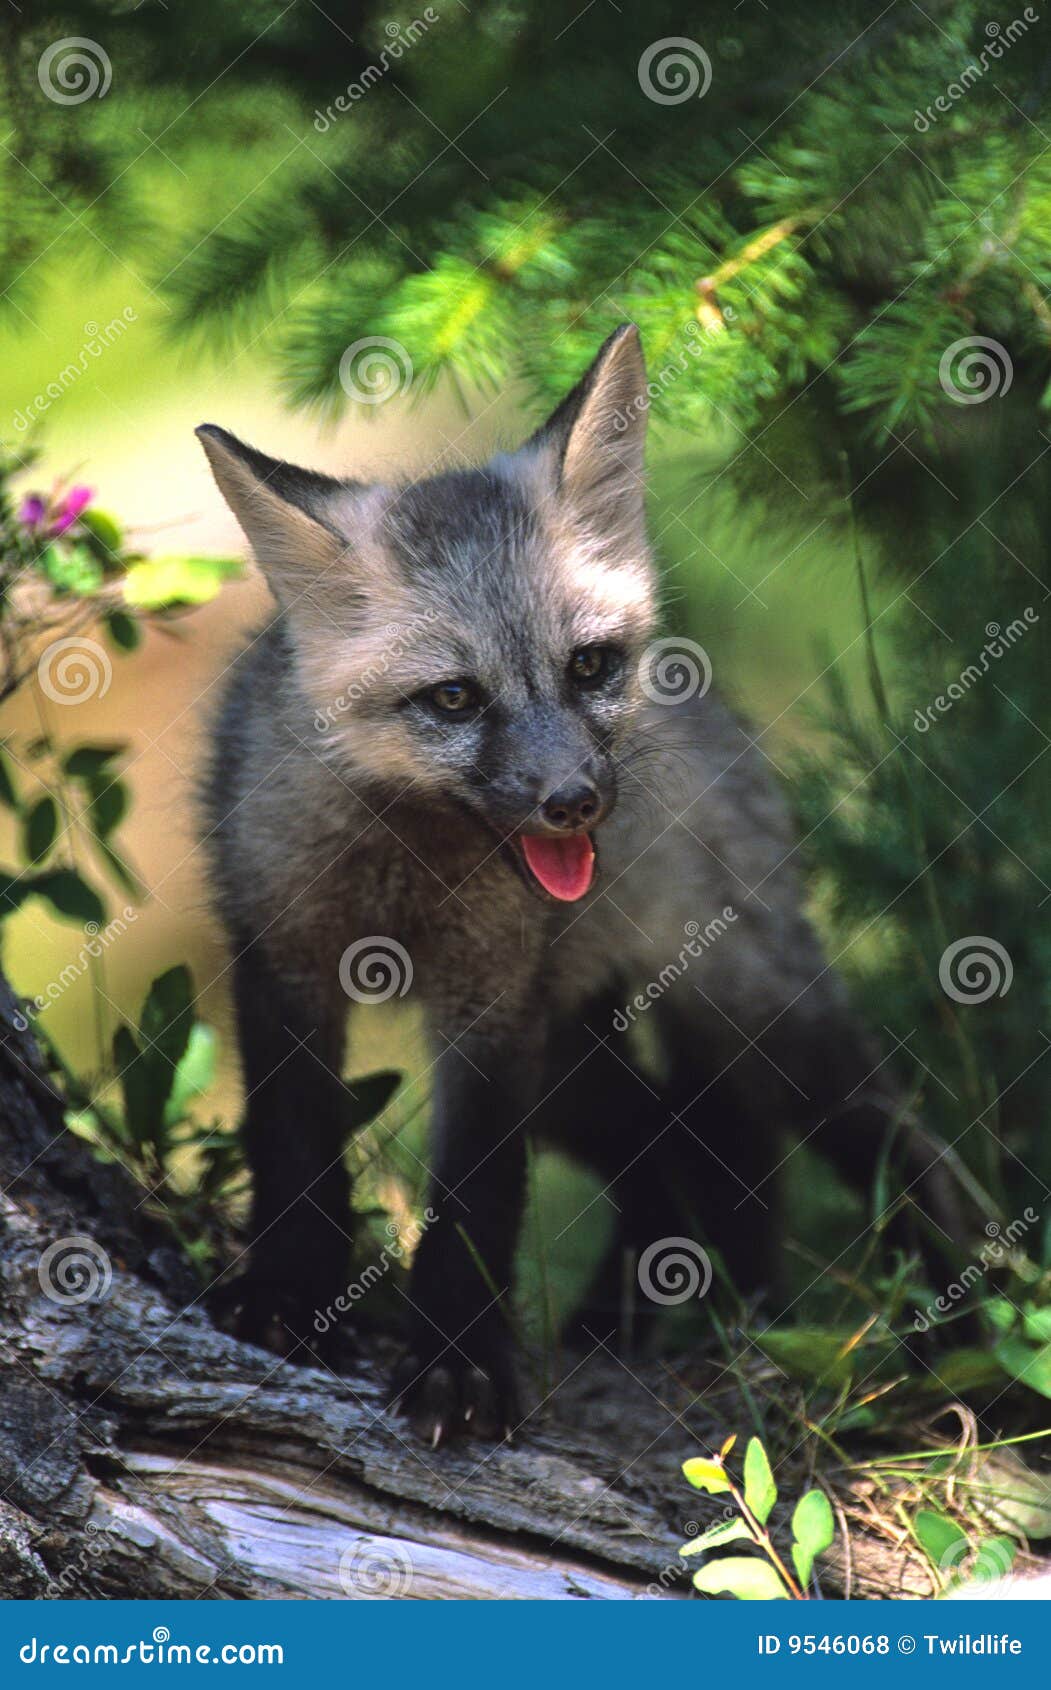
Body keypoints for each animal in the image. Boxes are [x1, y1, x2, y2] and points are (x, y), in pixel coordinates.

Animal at [196, 325, 962, 1445]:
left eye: (590, 665)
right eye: (453, 698)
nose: (574, 800)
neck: (406, 874)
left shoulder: (491, 1013)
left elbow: (476, 1202)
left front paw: (459, 1363)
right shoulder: (283, 960)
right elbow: (292, 1146)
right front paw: (287, 1295)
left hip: (750, 1013)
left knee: (881, 1141)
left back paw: (959, 1324)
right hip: (573, 1069)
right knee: (678, 1149)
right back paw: (671, 1315)